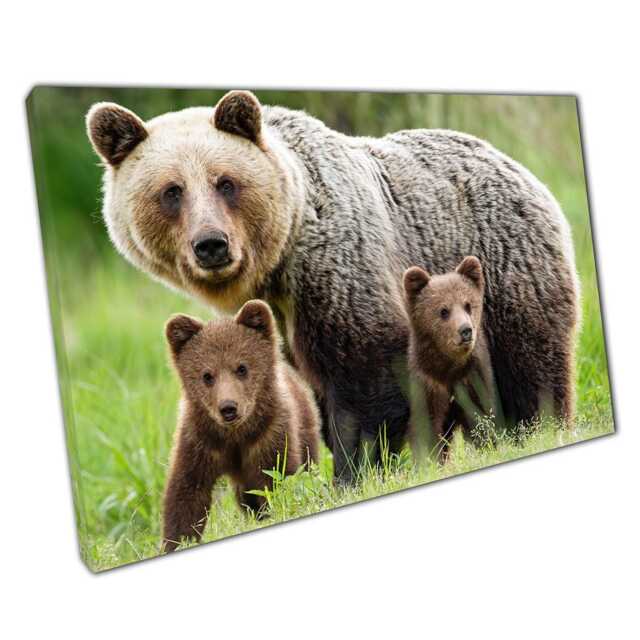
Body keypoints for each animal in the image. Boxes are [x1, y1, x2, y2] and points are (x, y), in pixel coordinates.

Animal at [161, 299, 321, 552]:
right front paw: (176, 542)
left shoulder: (269, 435)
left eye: (242, 367)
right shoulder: (199, 442)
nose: (228, 407)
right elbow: (186, 494)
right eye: (207, 375)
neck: (235, 436)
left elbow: (276, 479)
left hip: (305, 427)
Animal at [403, 256, 500, 459]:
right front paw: (429, 459)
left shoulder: (473, 378)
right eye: (443, 311)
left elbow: (482, 417)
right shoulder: (428, 384)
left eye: (468, 305)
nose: (465, 330)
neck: (449, 370)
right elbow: (426, 428)